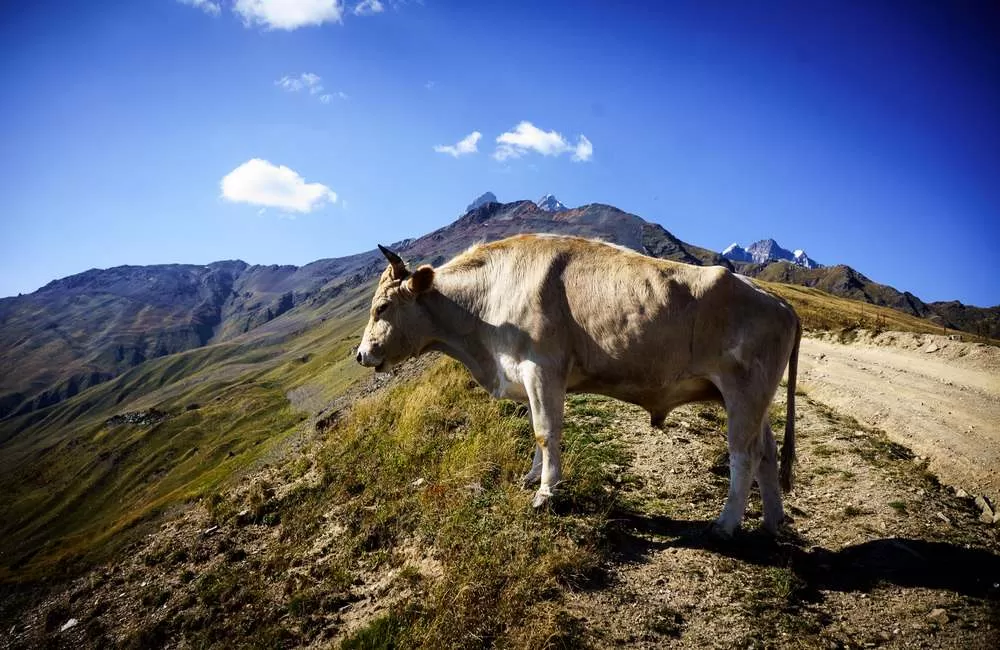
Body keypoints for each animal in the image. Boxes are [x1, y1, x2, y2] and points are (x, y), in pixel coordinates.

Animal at [356, 235, 800, 536]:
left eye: (382, 307)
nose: (360, 355)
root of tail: (780, 303)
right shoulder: (527, 377)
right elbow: (536, 432)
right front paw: (532, 477)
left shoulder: (542, 369)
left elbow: (545, 431)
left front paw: (546, 494)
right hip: (752, 399)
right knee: (767, 453)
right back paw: (772, 521)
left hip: (744, 393)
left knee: (744, 455)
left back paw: (725, 524)